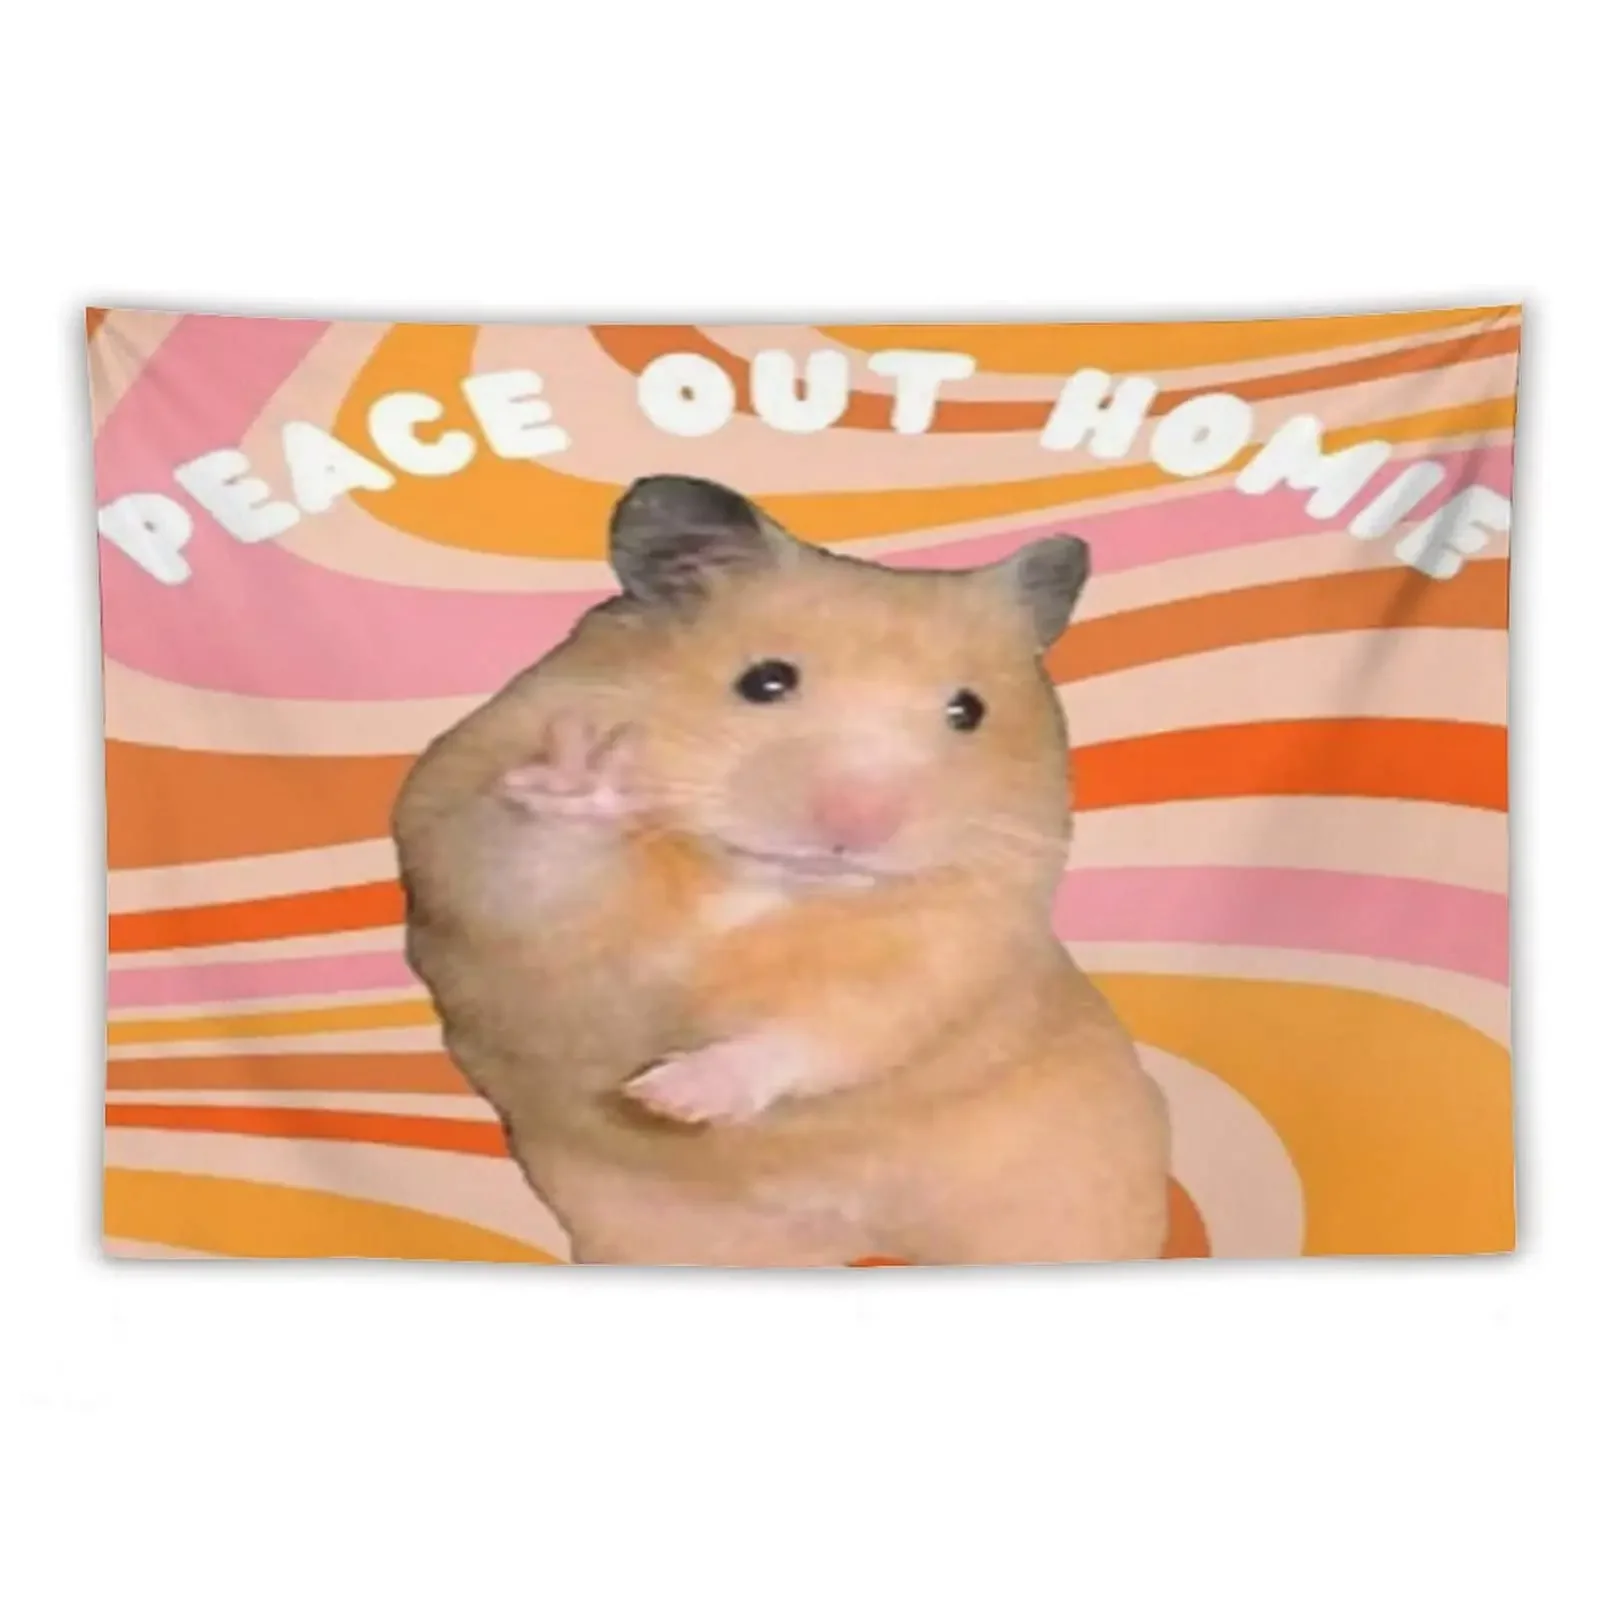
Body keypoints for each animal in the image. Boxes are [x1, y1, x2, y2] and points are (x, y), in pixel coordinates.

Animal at [392, 474, 1170, 1266]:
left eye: (968, 710)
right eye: (764, 682)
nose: (858, 826)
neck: (765, 883)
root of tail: (858, 1236)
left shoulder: (953, 952)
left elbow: (827, 1030)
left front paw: (671, 1095)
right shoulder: (471, 854)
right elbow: (535, 865)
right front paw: (589, 776)